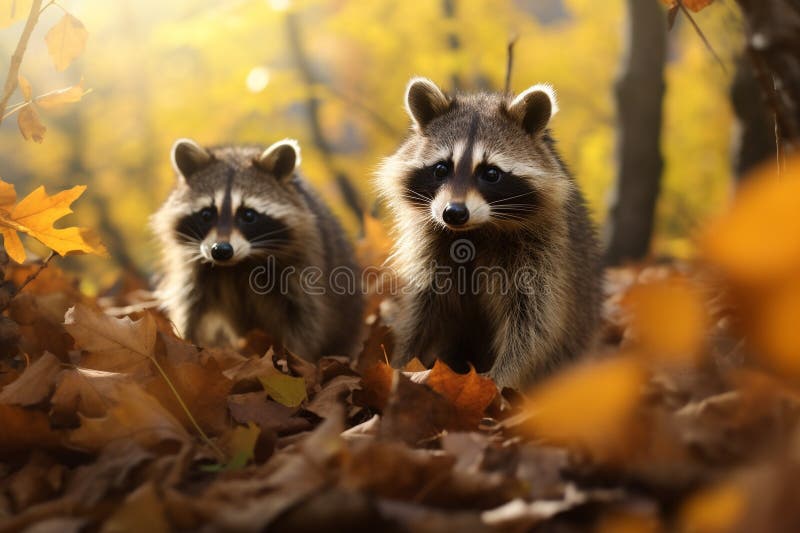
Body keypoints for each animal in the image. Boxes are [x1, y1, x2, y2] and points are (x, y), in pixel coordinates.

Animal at [152, 138, 364, 360]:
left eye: (248, 215)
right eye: (206, 214)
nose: (221, 250)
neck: (238, 264)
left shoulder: (302, 266)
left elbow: (304, 320)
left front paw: (297, 359)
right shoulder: (193, 271)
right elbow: (190, 311)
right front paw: (186, 342)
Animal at [377, 78, 602, 389]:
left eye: (491, 173)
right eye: (441, 168)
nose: (454, 213)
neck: (476, 231)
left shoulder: (543, 250)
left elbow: (535, 324)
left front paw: (499, 380)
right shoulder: (431, 248)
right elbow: (423, 309)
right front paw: (401, 361)